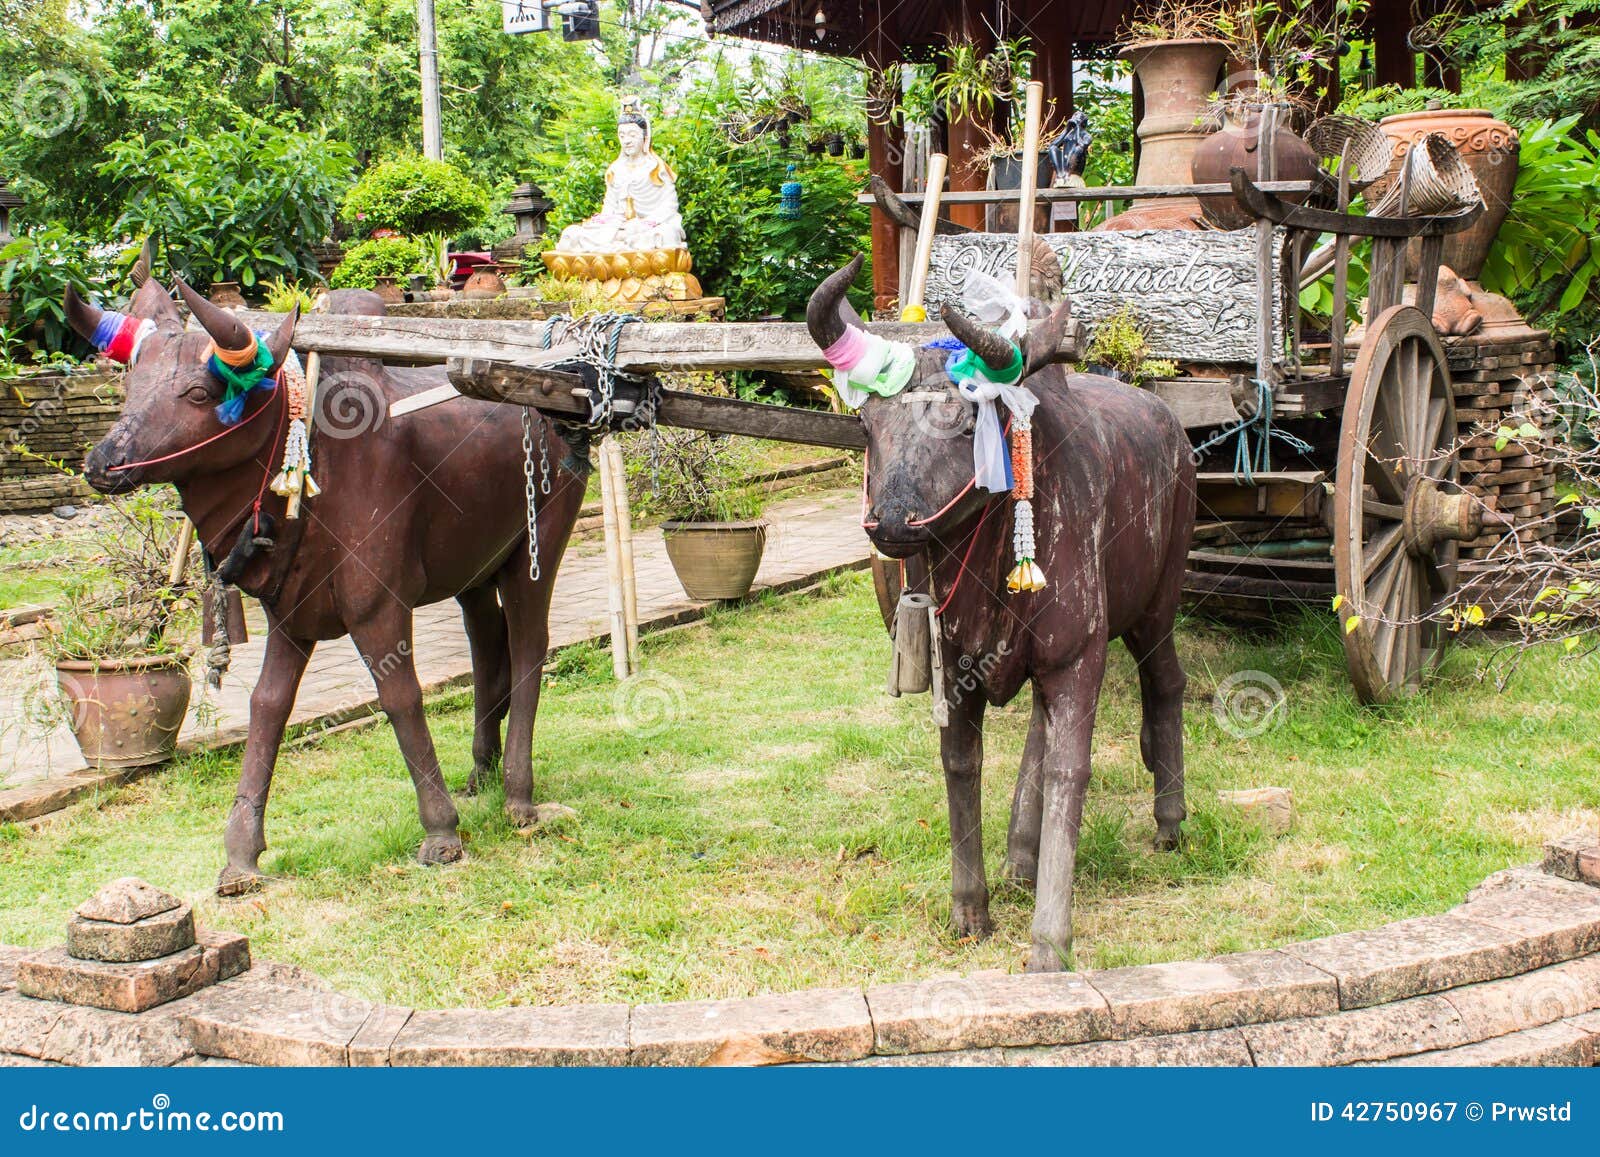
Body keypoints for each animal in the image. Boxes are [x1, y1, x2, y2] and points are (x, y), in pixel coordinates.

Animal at [65, 276, 586, 894]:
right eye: (132, 383)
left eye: (197, 392)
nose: (103, 462)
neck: (313, 461)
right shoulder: (290, 614)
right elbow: (267, 707)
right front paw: (241, 856)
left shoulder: (378, 608)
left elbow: (400, 697)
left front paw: (441, 832)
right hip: (473, 566)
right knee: (487, 646)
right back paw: (480, 770)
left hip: (539, 542)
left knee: (529, 646)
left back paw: (518, 795)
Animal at [808, 255, 1196, 972]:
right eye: (868, 427)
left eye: (966, 424)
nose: (891, 522)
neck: (988, 565)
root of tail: (1171, 427)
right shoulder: (956, 666)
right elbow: (963, 764)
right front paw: (971, 909)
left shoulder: (1079, 654)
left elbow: (1072, 767)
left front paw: (1049, 940)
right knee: (1039, 732)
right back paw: (1020, 856)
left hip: (1157, 607)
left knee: (1167, 682)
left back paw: (1169, 821)